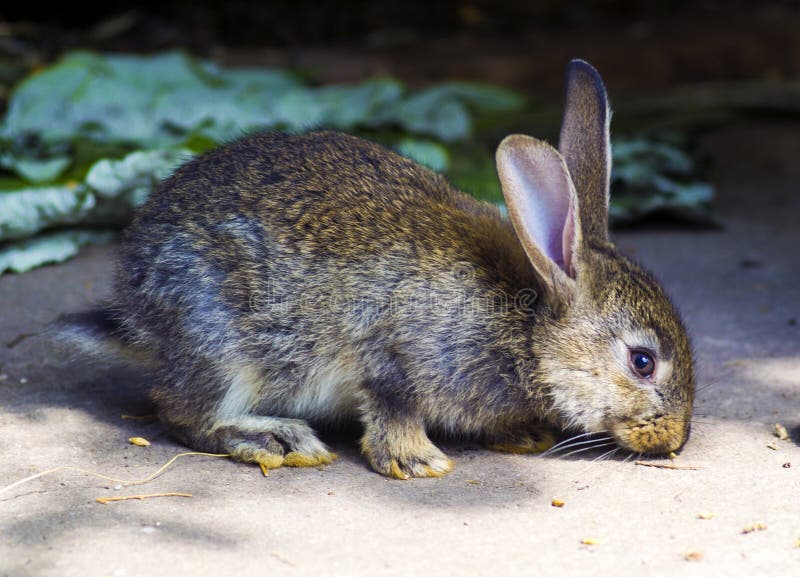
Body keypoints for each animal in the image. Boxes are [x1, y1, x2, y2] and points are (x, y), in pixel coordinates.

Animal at [59, 59, 694, 479]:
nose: (676, 441)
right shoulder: (395, 350)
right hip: (220, 339)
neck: (529, 327)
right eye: (642, 362)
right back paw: (277, 439)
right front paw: (418, 461)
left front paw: (522, 435)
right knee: (182, 411)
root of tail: (138, 310)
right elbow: (392, 405)